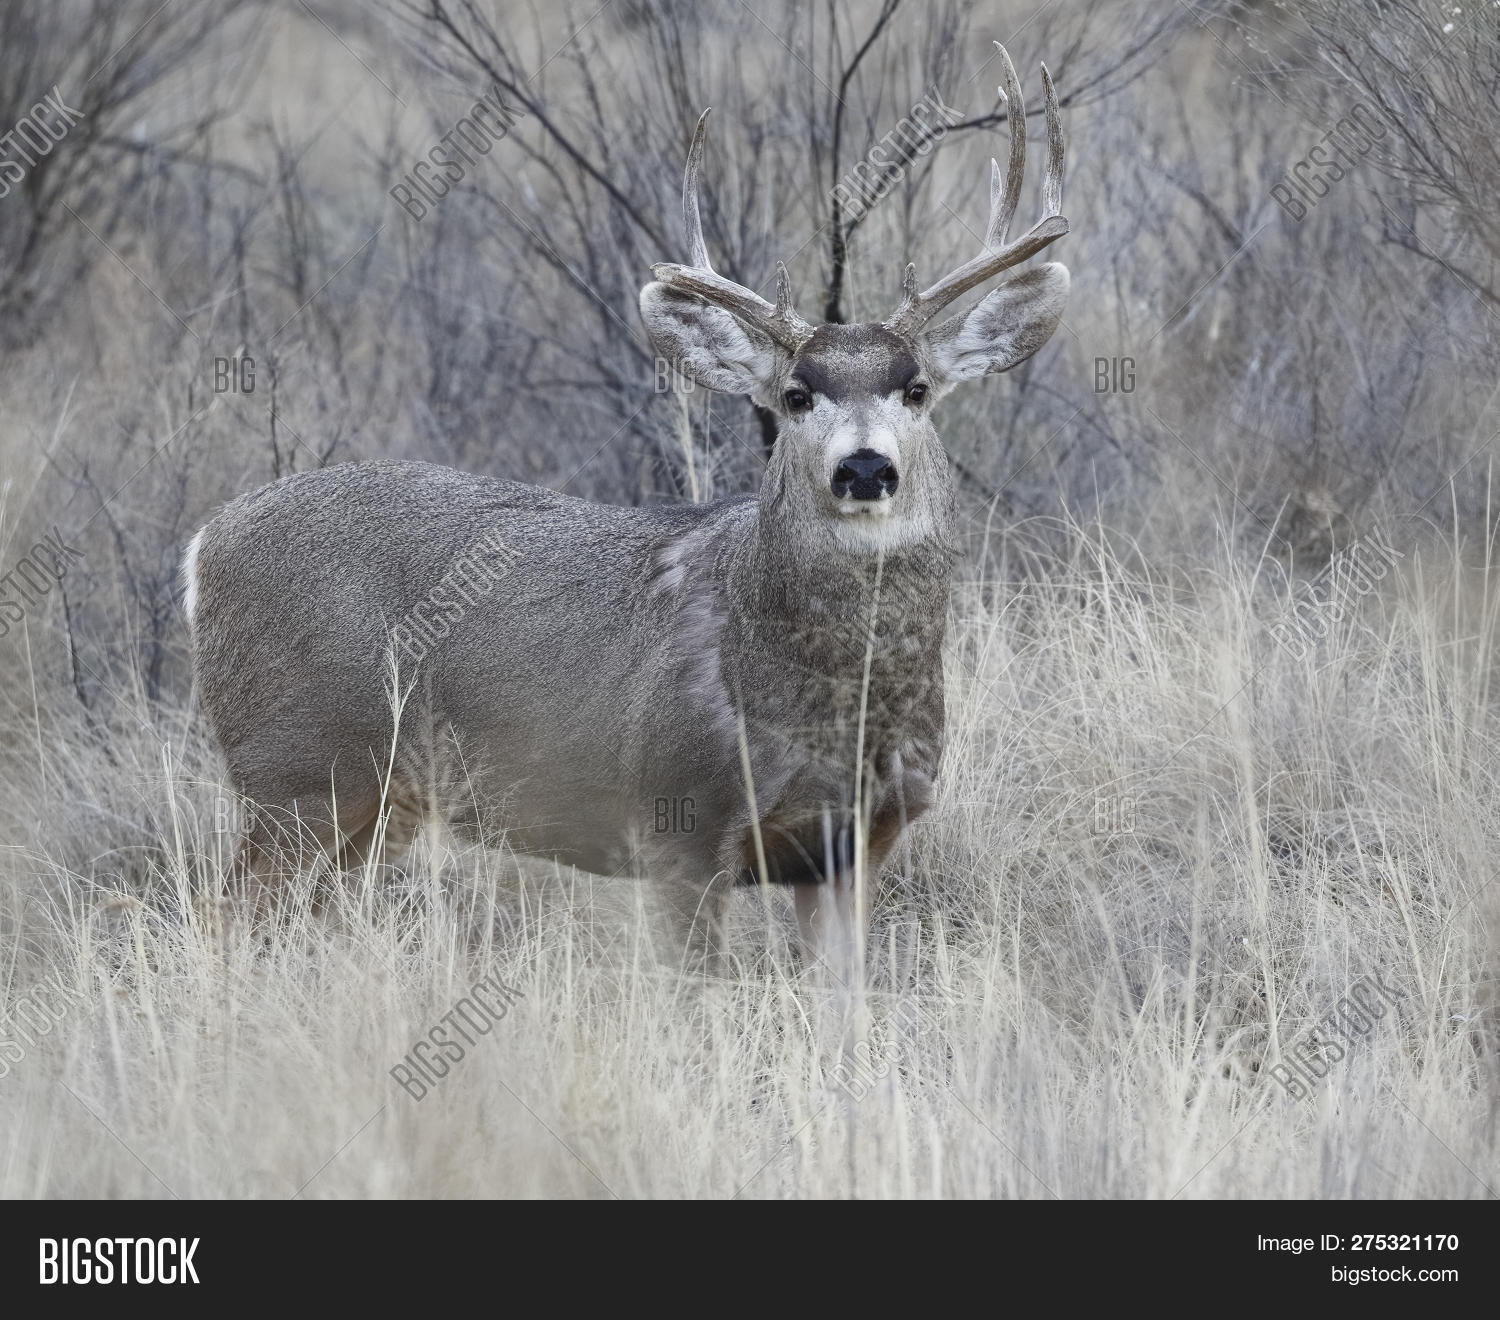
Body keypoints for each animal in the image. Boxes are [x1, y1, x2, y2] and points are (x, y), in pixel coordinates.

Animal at [182, 43, 1070, 975]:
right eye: (795, 395)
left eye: (918, 389)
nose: (865, 467)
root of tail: (203, 546)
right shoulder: (680, 816)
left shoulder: (857, 845)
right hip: (293, 768)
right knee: (223, 917)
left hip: (370, 805)